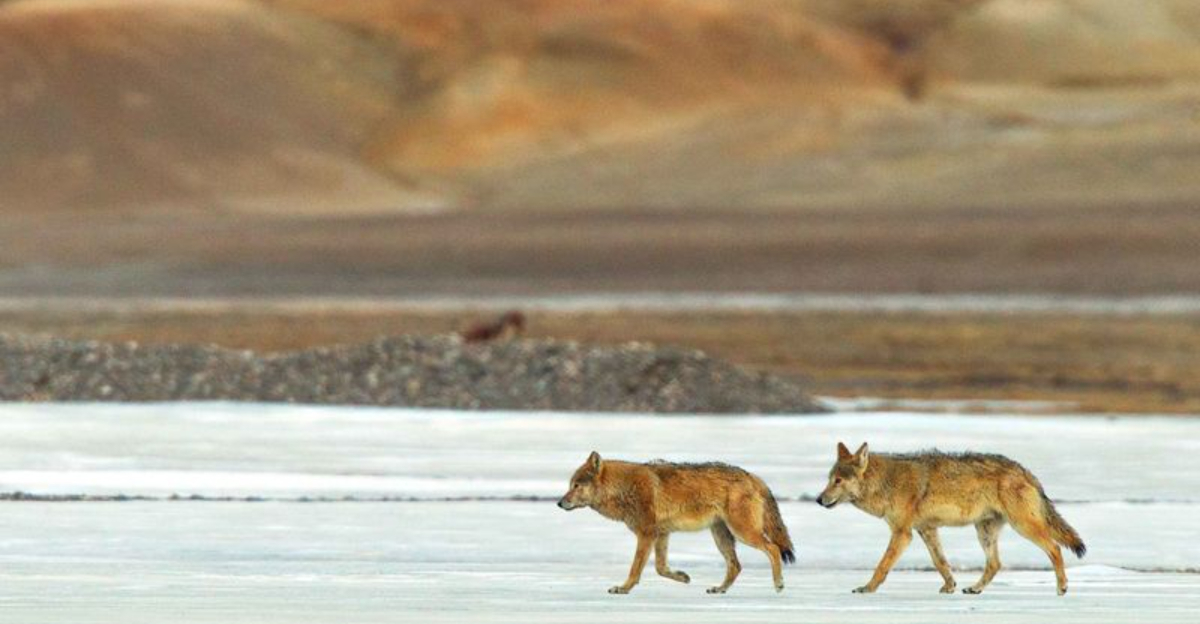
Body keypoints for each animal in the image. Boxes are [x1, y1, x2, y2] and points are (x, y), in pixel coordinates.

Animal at [557, 452, 795, 594]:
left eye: (576, 485)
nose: (559, 503)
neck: (623, 489)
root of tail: (752, 475)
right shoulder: (661, 534)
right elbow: (661, 568)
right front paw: (683, 577)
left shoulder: (647, 534)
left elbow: (636, 568)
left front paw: (623, 588)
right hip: (721, 536)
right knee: (736, 565)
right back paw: (719, 589)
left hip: (742, 533)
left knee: (773, 549)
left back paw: (779, 584)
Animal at [817, 442, 1086, 596]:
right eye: (829, 479)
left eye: (838, 481)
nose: (818, 500)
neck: (886, 482)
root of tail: (1025, 470)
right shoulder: (926, 530)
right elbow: (941, 563)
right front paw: (950, 586)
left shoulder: (902, 533)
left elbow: (882, 565)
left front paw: (867, 588)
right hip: (984, 532)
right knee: (995, 564)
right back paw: (975, 589)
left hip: (1023, 526)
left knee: (1054, 548)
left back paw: (1062, 588)